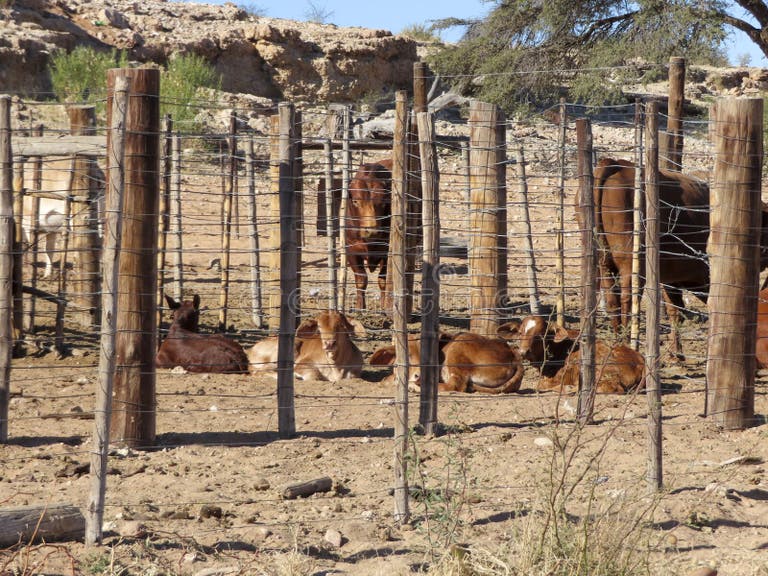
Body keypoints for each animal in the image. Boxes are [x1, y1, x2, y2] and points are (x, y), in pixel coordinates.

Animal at [345, 159, 392, 310]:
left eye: (384, 202)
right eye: (355, 201)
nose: (371, 231)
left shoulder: (387, 252)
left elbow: (383, 280)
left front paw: (384, 306)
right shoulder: (351, 250)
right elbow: (361, 279)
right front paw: (360, 307)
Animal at [370, 331, 524, 394]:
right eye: (406, 355)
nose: (419, 375)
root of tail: (513, 352)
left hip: (457, 353)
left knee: (454, 386)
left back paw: (413, 387)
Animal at [499, 315, 645, 394]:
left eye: (540, 335)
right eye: (520, 333)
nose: (523, 351)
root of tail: (641, 360)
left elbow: (540, 384)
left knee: (612, 388)